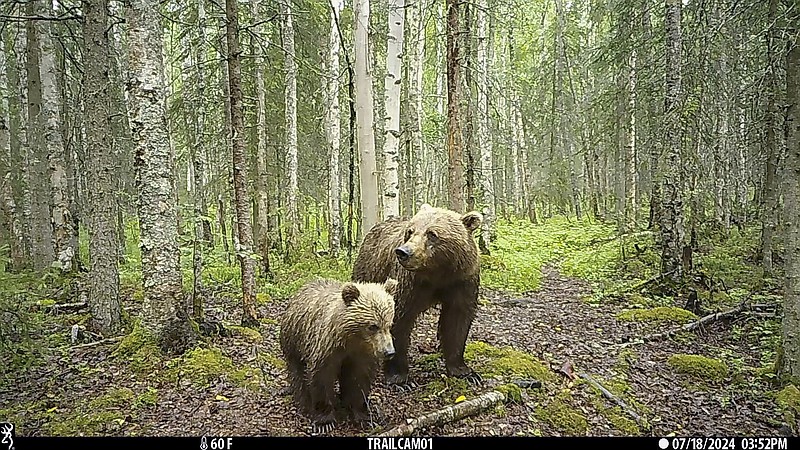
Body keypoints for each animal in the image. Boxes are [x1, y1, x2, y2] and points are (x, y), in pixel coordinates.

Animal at [279, 277, 398, 432]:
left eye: (389, 324)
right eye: (373, 326)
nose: (389, 351)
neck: (350, 338)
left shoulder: (361, 355)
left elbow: (358, 380)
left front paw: (361, 416)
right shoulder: (326, 348)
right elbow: (321, 378)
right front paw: (325, 421)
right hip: (295, 339)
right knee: (297, 372)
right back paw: (304, 403)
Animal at [351, 203, 483, 387]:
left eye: (432, 234)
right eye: (410, 231)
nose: (403, 252)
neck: (438, 273)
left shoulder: (462, 280)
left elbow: (457, 321)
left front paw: (465, 372)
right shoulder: (409, 283)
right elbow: (398, 319)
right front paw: (399, 378)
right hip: (369, 269)